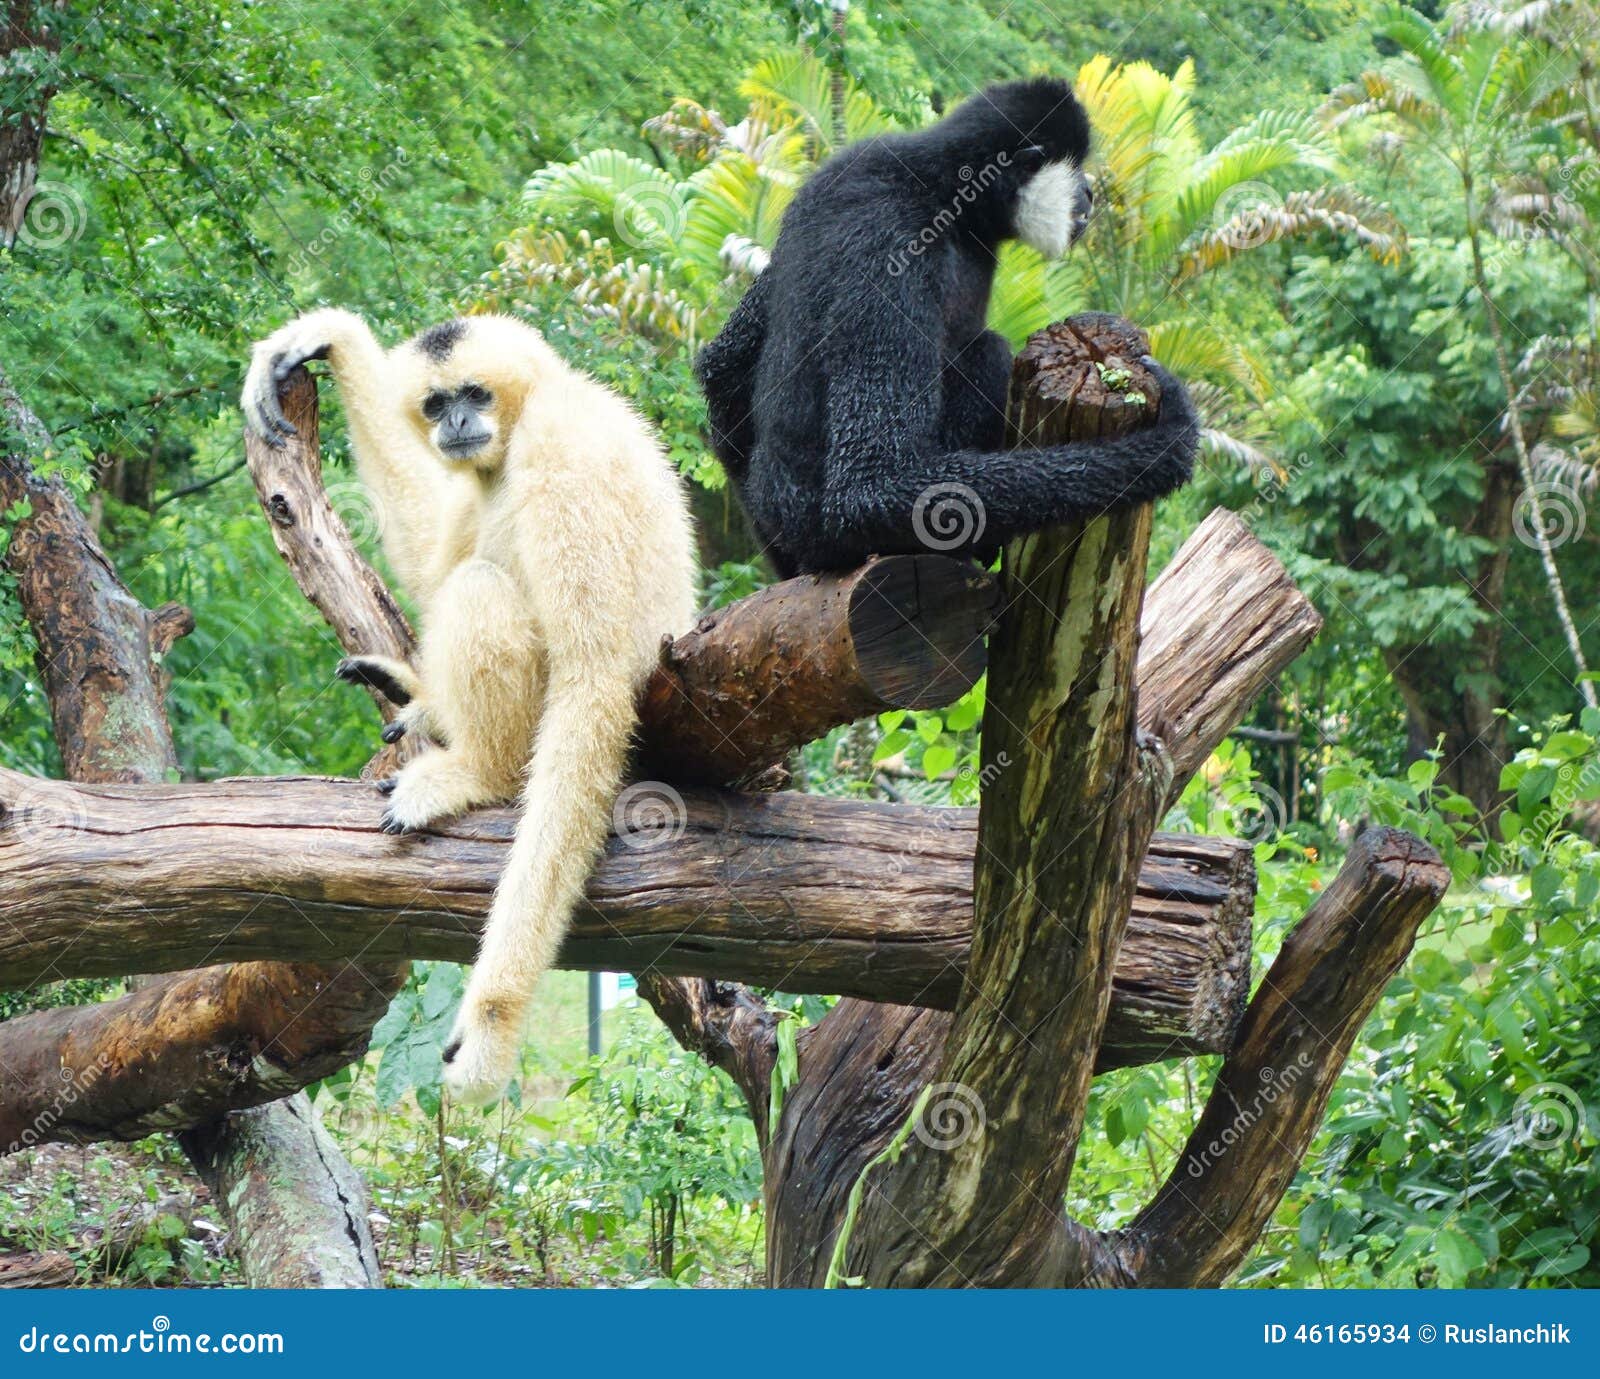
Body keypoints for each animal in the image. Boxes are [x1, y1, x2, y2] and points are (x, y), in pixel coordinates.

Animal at [242, 309, 698, 1104]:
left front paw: (492, 1019)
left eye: (476, 395)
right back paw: (422, 702)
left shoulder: (561, 451)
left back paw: (476, 770)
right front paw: (329, 338)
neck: (527, 417)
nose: (456, 422)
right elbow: (431, 556)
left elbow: (593, 682)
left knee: (480, 586)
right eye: (436, 403)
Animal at [695, 77, 1198, 577]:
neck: (935, 185)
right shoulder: (896, 246)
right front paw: (1165, 445)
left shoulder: (837, 174)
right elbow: (874, 486)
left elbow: (720, 366)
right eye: (1075, 170)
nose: (1090, 193)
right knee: (986, 350)